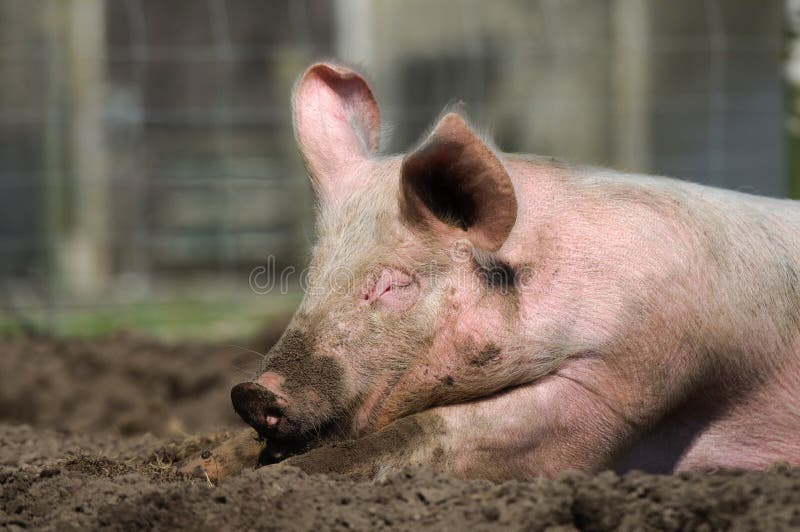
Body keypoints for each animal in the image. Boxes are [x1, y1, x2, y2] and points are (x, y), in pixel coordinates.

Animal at [184, 62, 800, 482]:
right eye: (313, 274)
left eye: (392, 284)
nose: (253, 392)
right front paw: (210, 467)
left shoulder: (641, 369)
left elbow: (439, 430)